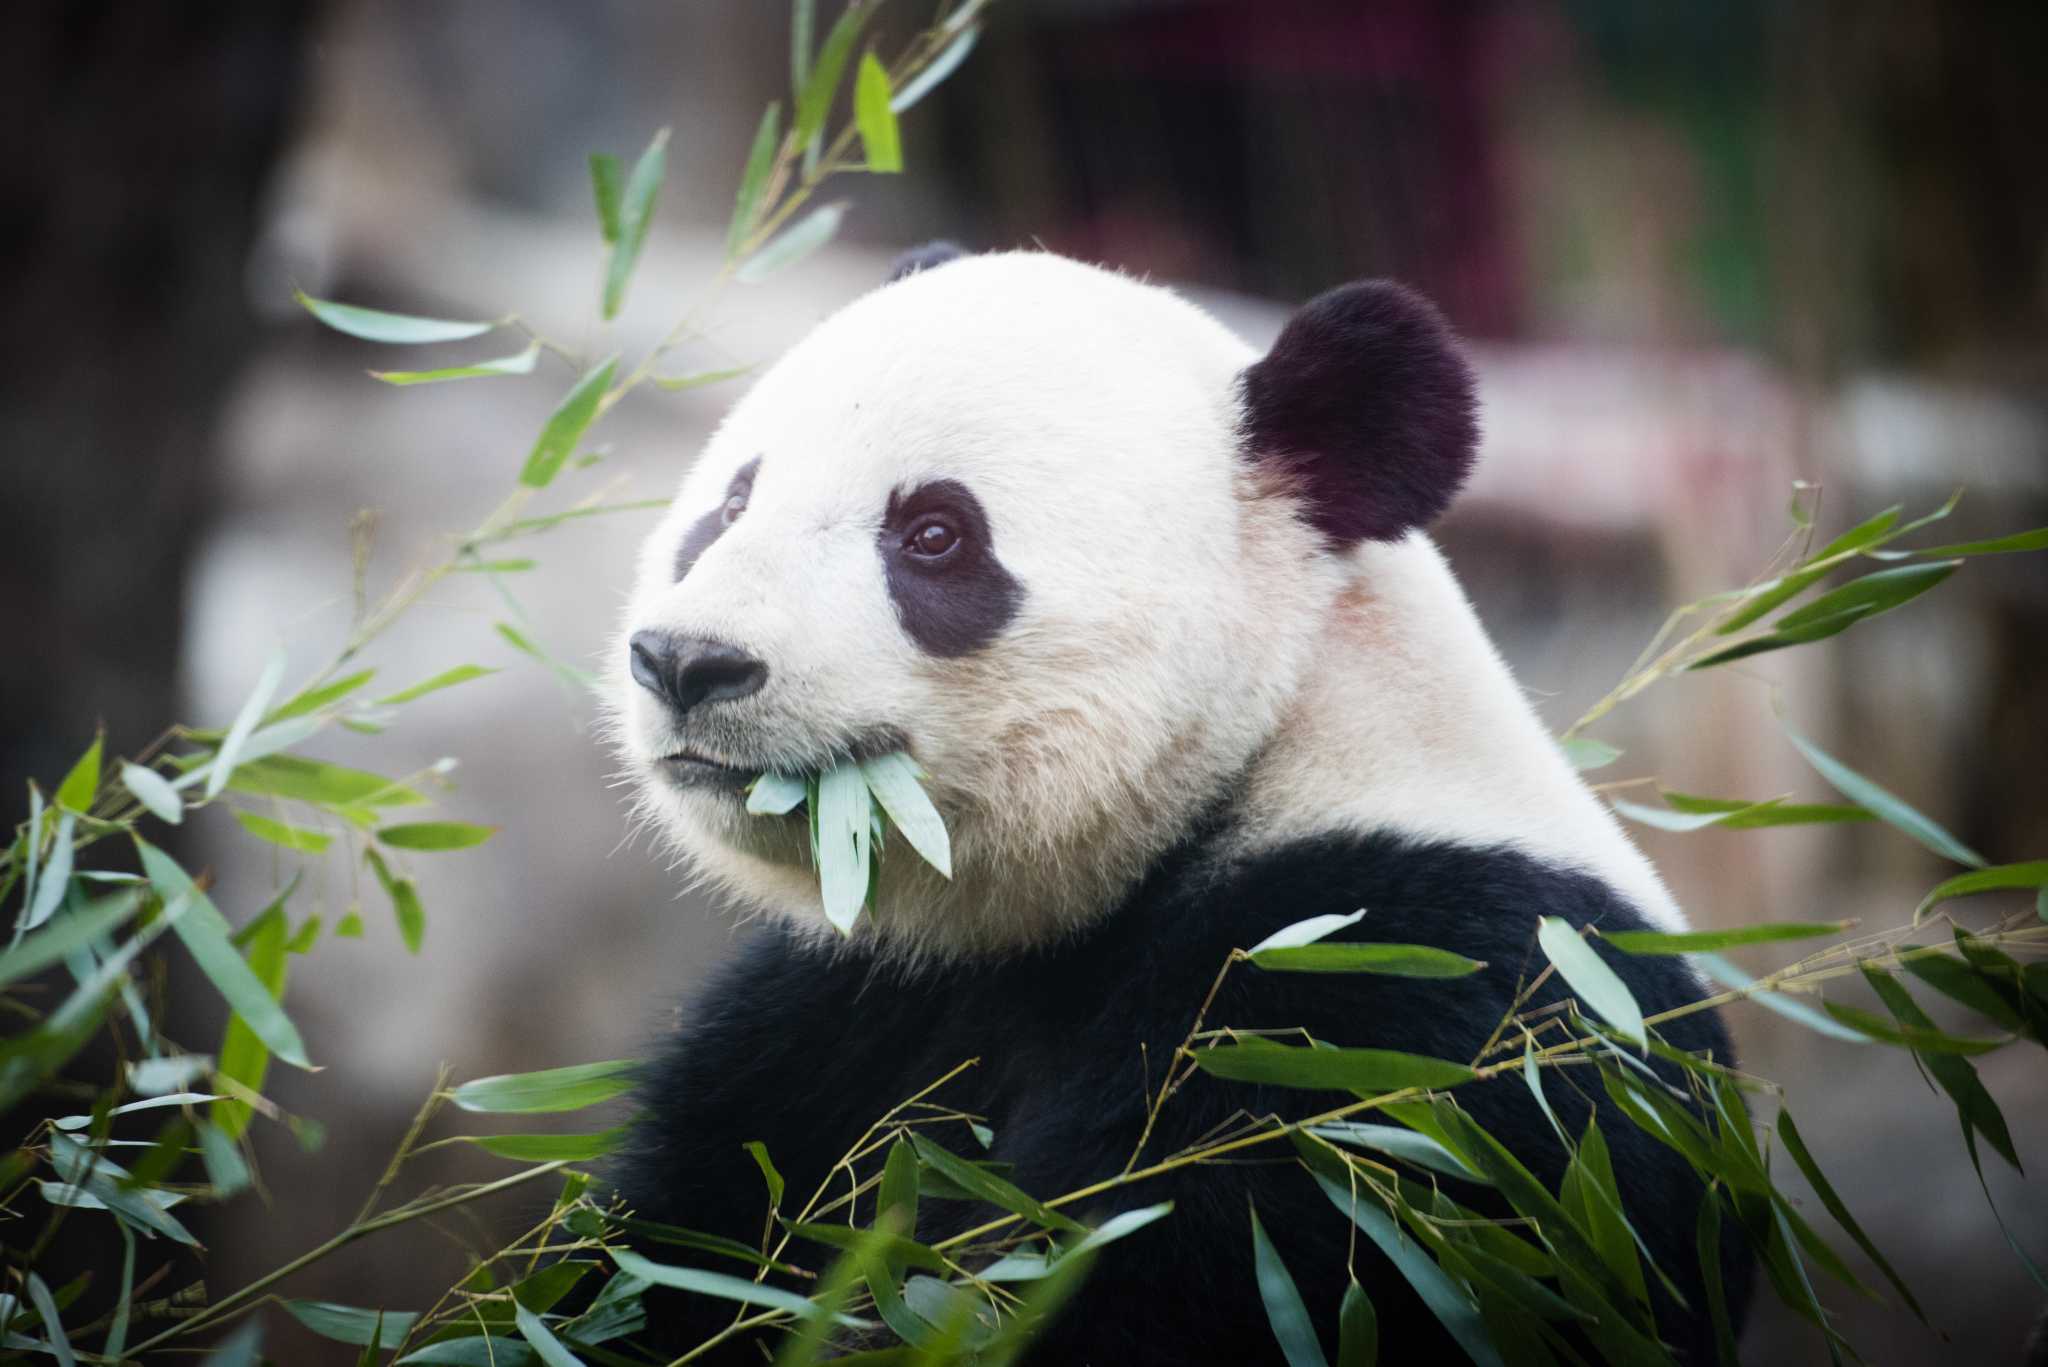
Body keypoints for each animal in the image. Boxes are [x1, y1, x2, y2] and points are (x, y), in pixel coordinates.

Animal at [608, 246, 1753, 1363]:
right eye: (734, 501)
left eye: (933, 532)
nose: (688, 661)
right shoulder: (852, 1001)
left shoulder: (1401, 1016)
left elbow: (1155, 1269)